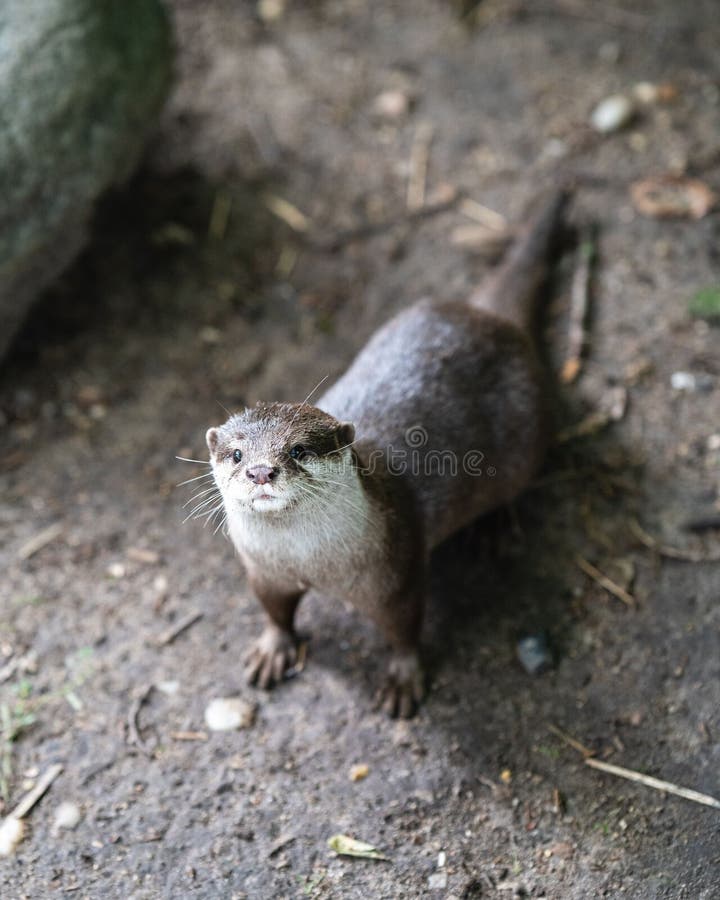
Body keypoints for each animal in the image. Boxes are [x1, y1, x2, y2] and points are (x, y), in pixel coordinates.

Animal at [204, 189, 568, 717]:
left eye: (298, 450)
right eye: (235, 454)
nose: (260, 472)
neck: (312, 563)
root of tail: (494, 320)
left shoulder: (397, 571)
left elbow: (404, 630)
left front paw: (402, 678)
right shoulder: (263, 572)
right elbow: (274, 611)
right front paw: (273, 647)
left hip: (528, 438)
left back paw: (495, 527)